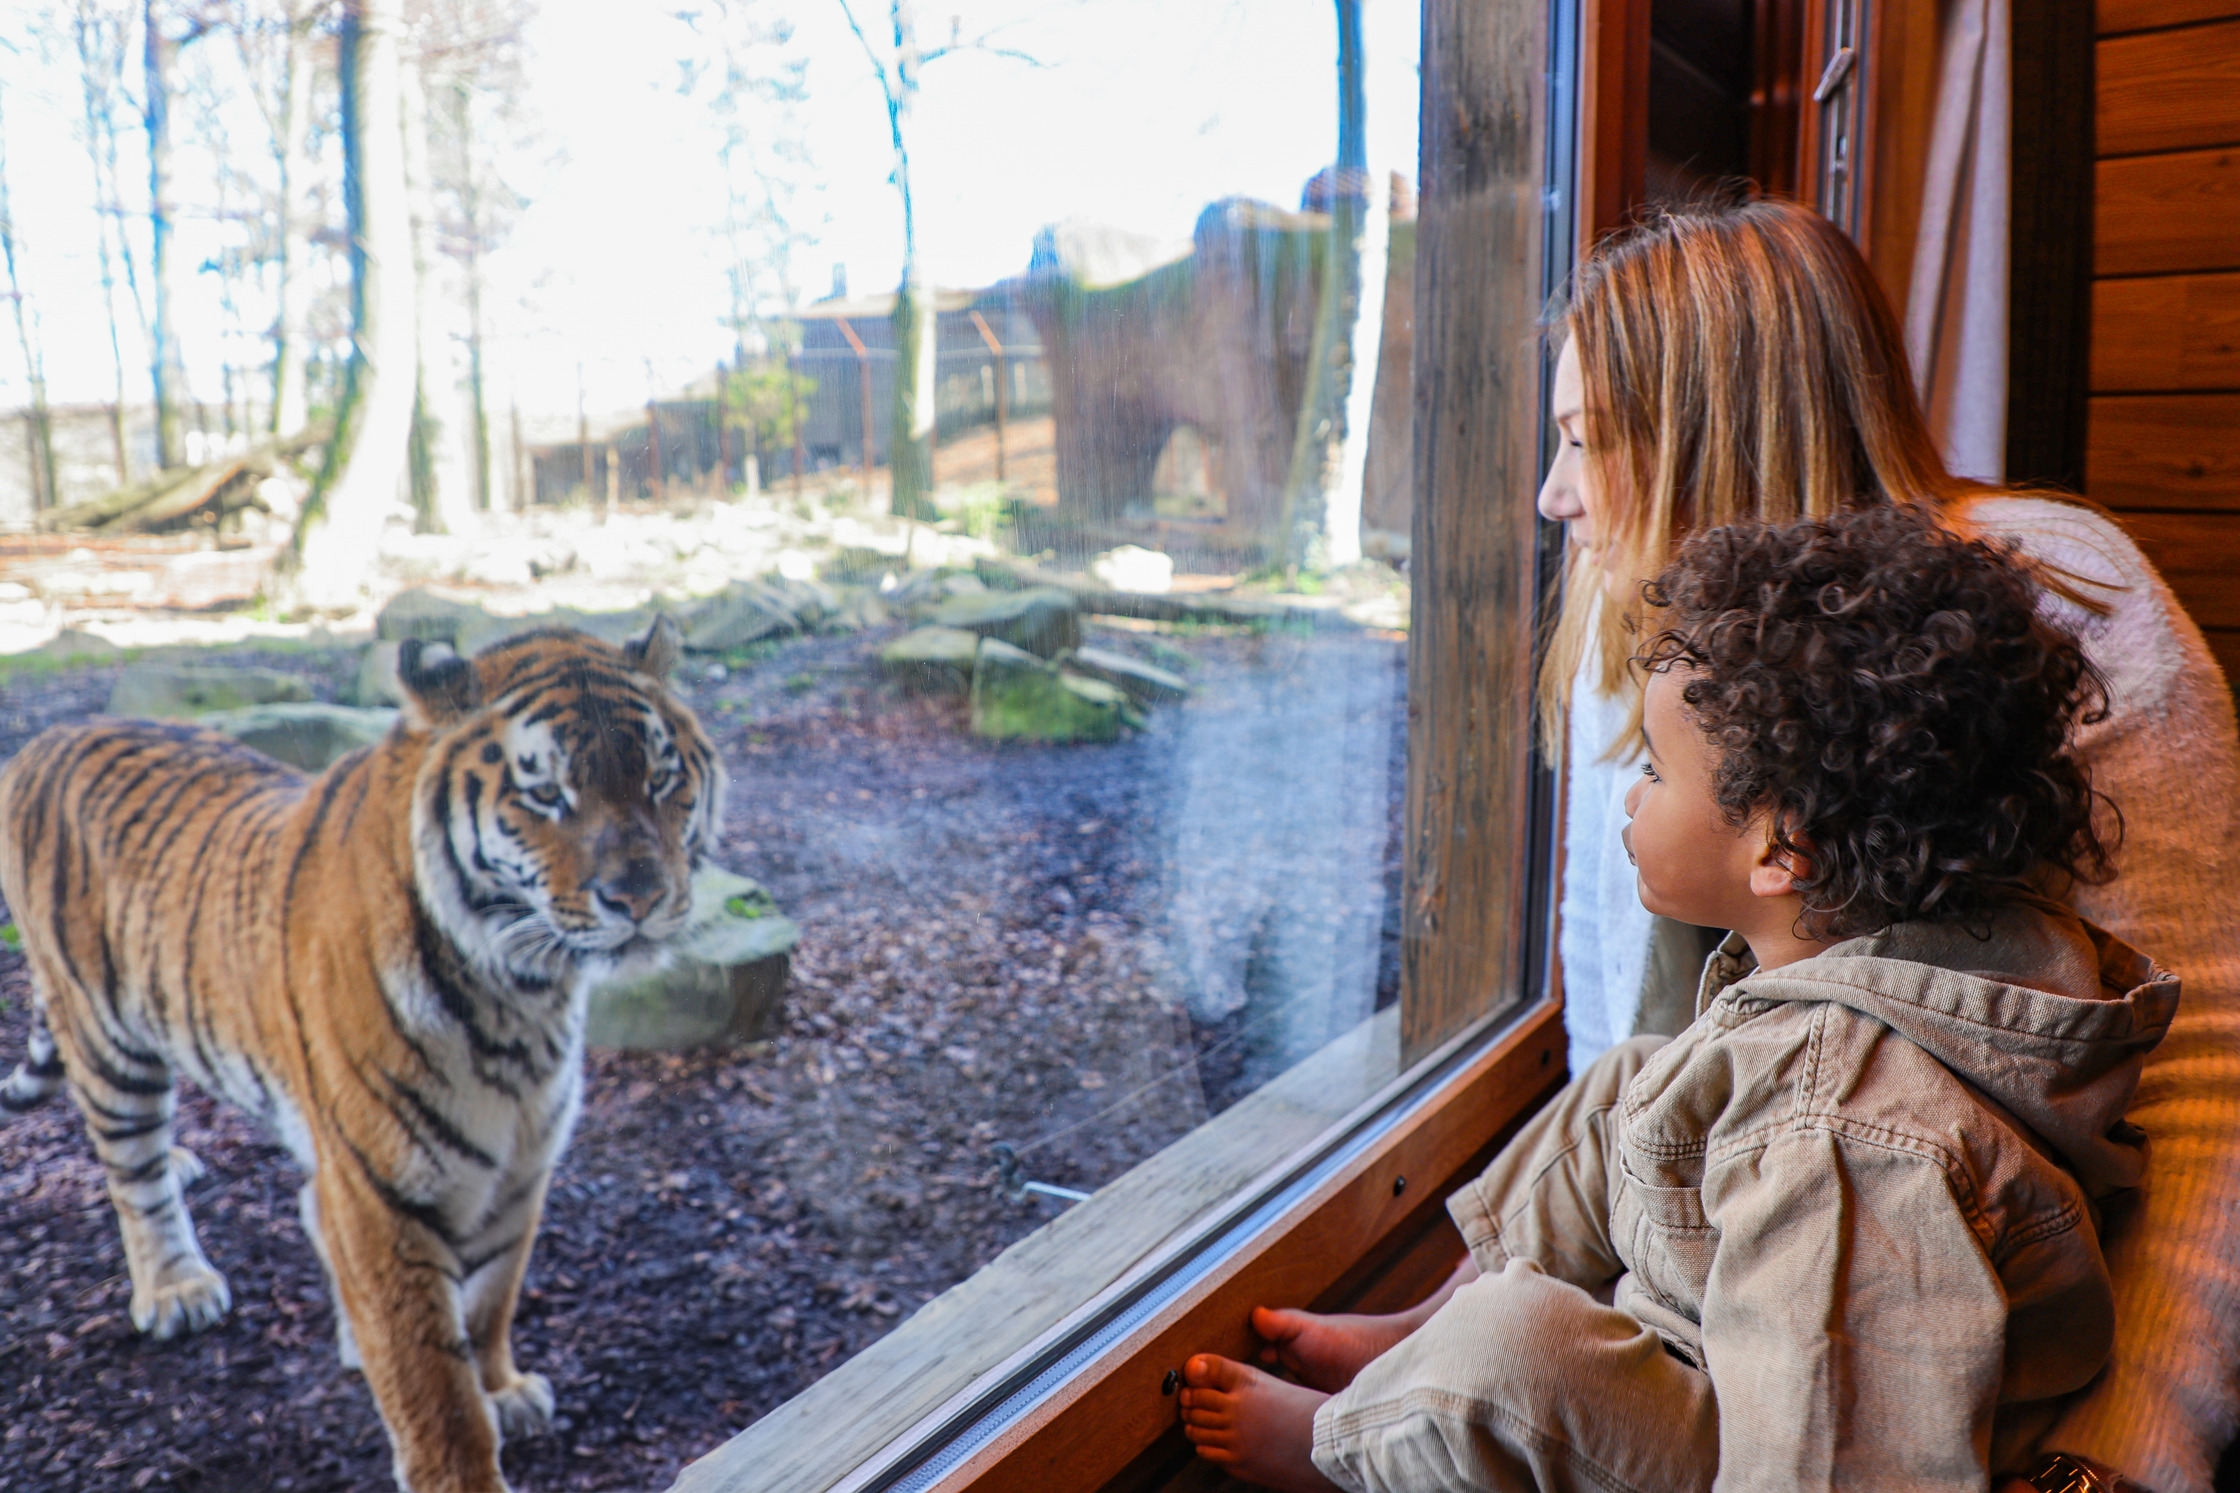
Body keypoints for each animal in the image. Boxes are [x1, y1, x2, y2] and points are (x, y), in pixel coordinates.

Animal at [0, 618, 724, 1493]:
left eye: (660, 777)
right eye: (546, 795)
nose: (641, 898)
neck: (524, 997)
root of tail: (43, 740)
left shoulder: (521, 1168)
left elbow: (489, 1299)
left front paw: (501, 1387)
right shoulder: (382, 1191)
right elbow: (430, 1379)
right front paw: (462, 1464)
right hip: (106, 1038)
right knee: (131, 1173)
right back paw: (176, 1283)